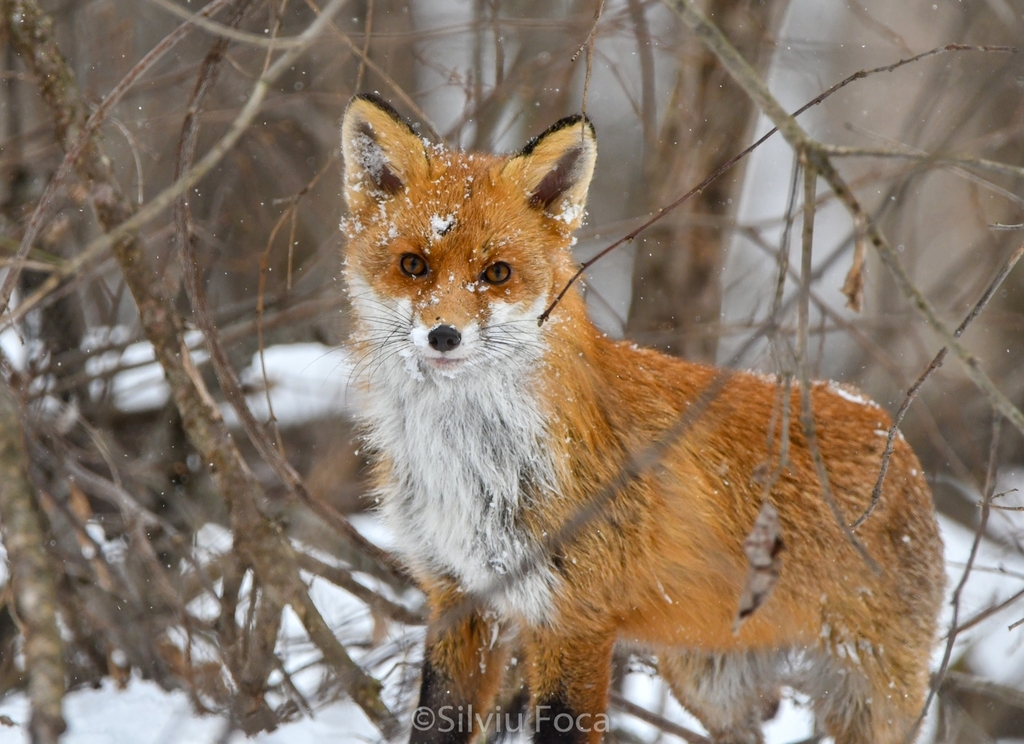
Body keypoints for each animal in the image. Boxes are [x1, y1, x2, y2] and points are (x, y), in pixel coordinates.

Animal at [339, 93, 945, 744]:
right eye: (413, 264)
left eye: (497, 273)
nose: (444, 336)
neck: (469, 460)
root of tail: (888, 428)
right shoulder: (458, 595)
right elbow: (435, 723)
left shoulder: (575, 617)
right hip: (711, 684)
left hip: (870, 699)